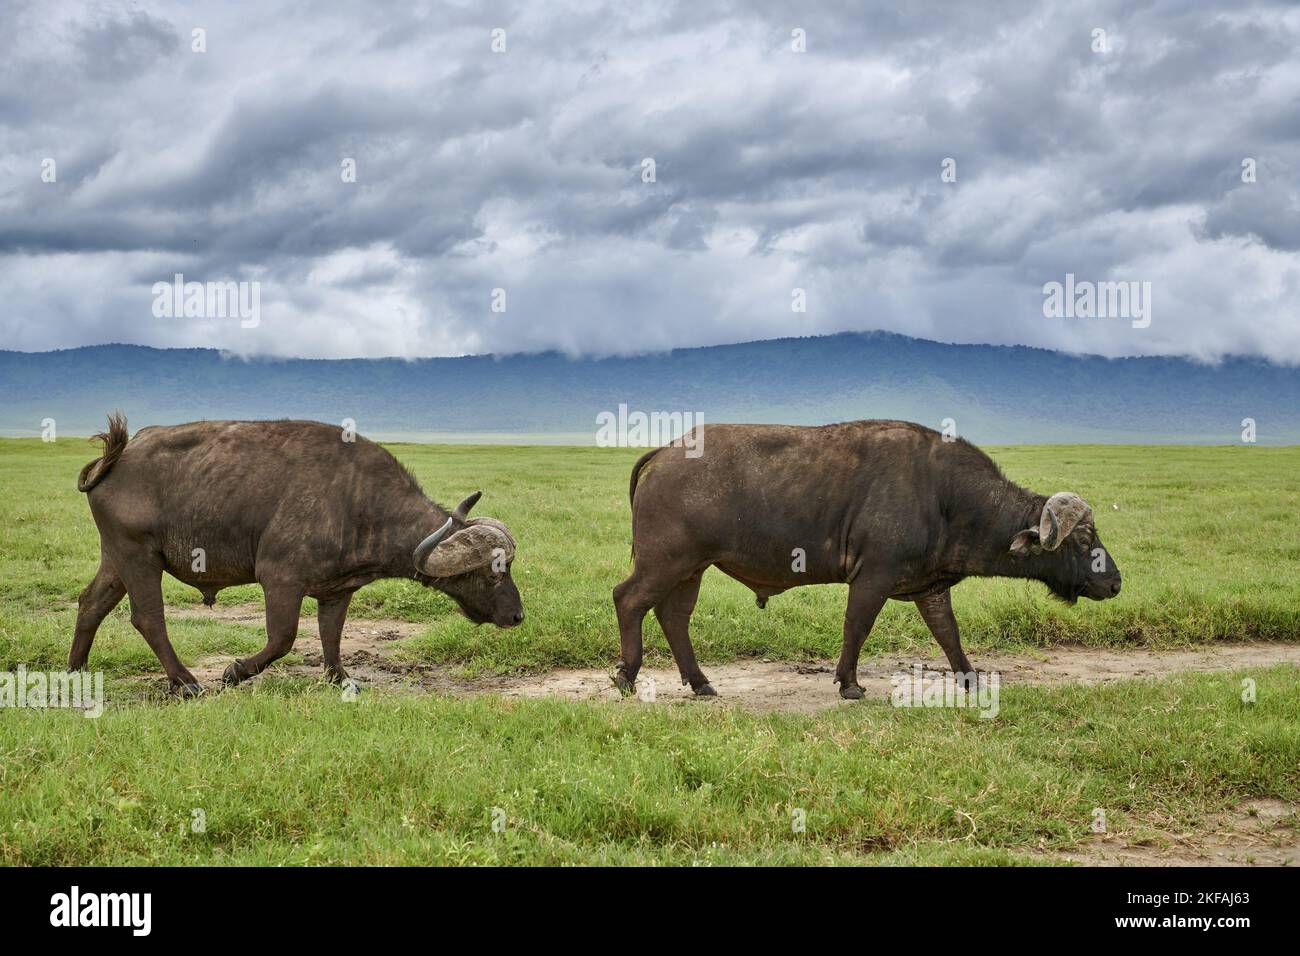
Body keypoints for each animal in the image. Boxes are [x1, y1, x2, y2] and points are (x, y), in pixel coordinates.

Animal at [73, 414, 522, 695]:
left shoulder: (337, 592)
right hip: (138, 556)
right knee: (148, 618)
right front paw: (234, 672)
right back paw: (186, 683)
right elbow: (283, 638)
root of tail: (117, 458)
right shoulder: (280, 581)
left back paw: (75, 671)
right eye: (493, 574)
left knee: (90, 603)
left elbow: (331, 638)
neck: (358, 500)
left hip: (116, 558)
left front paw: (341, 679)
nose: (518, 615)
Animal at [613, 420, 1121, 699]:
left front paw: (971, 679)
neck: (945, 496)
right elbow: (856, 626)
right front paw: (850, 683)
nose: (1115, 582)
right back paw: (626, 675)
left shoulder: (929, 588)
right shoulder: (873, 578)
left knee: (674, 617)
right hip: (664, 562)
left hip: (691, 569)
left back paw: (700, 682)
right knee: (628, 600)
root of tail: (665, 452)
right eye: (1083, 540)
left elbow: (949, 635)